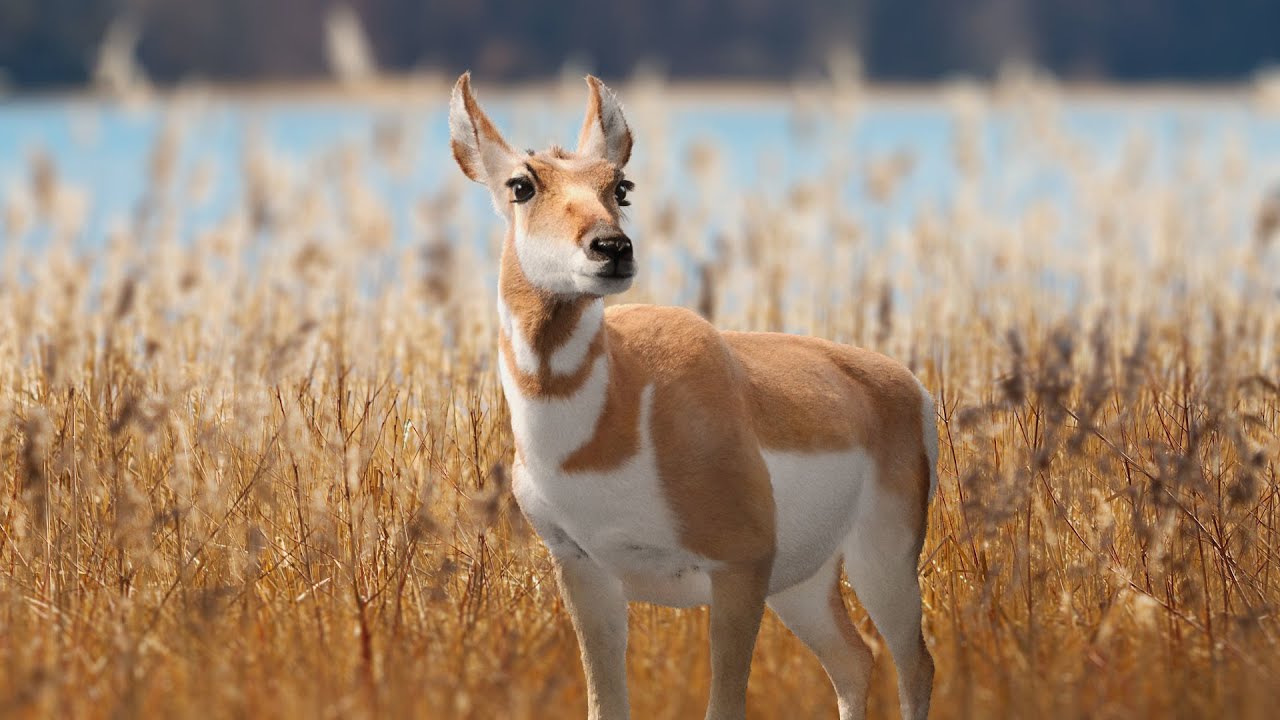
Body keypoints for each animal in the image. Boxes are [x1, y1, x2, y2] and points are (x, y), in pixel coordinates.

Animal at [449, 73, 937, 720]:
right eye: (521, 184)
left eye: (620, 185)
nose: (612, 248)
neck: (614, 422)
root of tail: (903, 383)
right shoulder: (583, 569)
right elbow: (606, 703)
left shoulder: (738, 569)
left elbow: (725, 704)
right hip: (803, 582)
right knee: (855, 661)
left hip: (882, 555)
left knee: (914, 663)